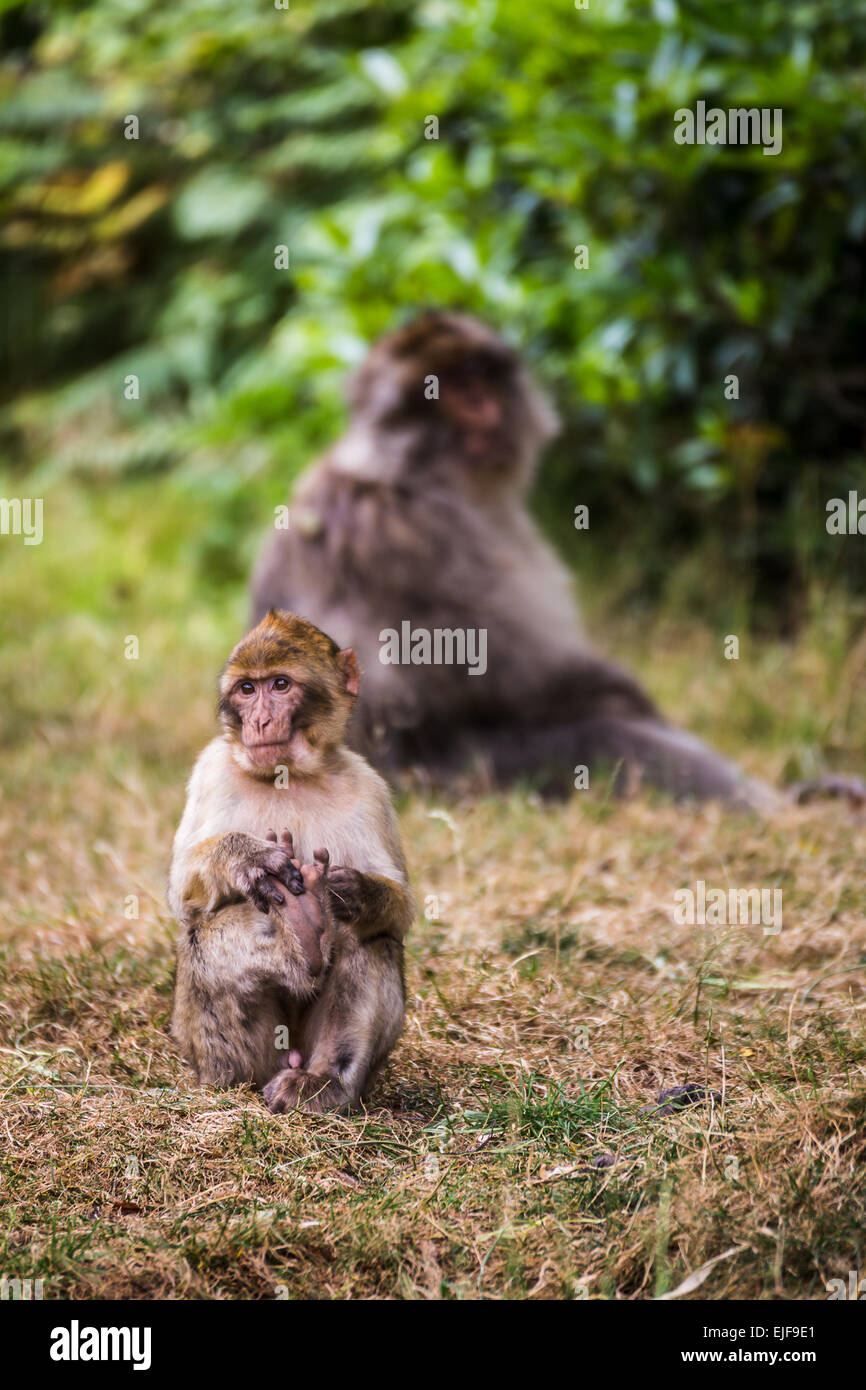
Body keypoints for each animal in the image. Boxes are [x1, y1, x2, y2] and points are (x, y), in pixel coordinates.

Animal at [168, 610, 414, 1114]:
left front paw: (359, 890)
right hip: (234, 1055)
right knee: (203, 940)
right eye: (248, 689)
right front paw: (247, 857)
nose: (260, 720)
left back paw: (325, 1080)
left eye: (280, 684)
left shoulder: (371, 789)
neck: (288, 775)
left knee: (369, 938)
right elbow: (183, 892)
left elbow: (399, 911)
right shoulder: (212, 767)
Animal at [250, 310, 780, 809]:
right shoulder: (418, 537)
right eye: (449, 389)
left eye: (482, 376)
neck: (415, 478)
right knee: (606, 740)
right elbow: (519, 676)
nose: (483, 404)